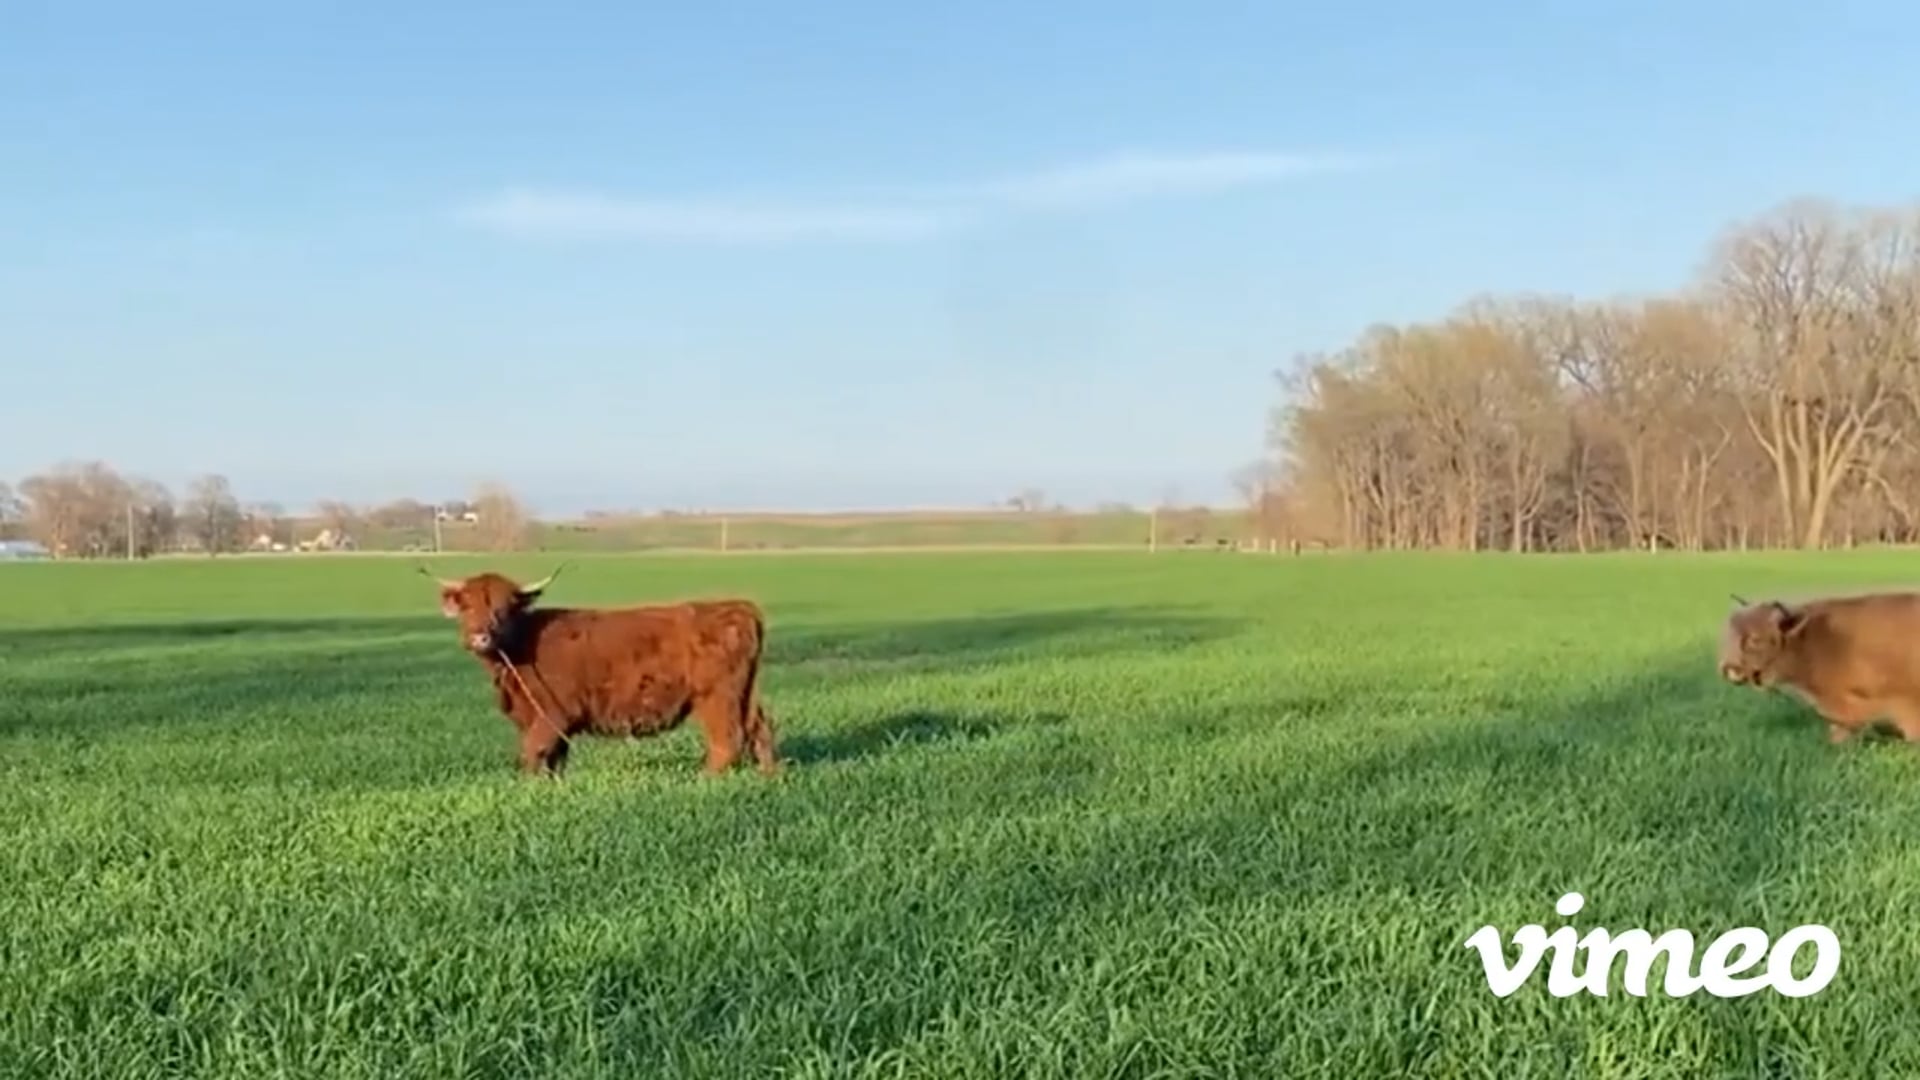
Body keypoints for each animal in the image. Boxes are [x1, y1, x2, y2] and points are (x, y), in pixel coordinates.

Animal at [423, 564, 781, 777]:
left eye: (505, 607)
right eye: (467, 606)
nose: (480, 636)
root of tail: (738, 606)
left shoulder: (554, 713)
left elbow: (533, 751)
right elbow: (555, 757)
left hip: (716, 697)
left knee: (726, 739)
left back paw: (705, 779)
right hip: (745, 694)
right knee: (759, 728)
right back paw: (769, 775)